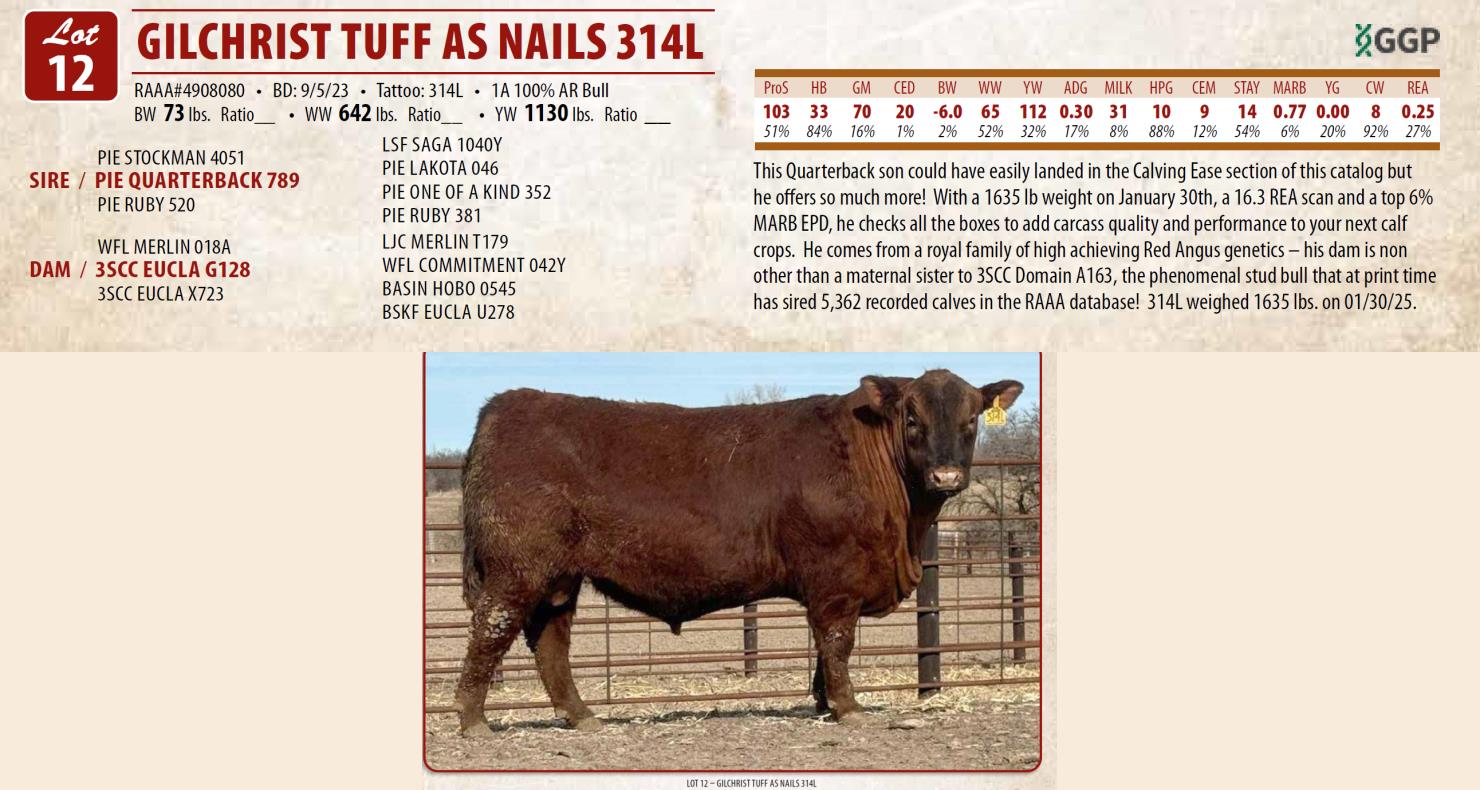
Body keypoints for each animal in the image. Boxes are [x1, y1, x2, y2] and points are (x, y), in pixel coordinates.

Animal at [454, 369, 1024, 736]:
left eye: (972, 420)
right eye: (912, 419)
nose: (946, 476)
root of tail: (503, 406)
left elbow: (823, 650)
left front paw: (823, 704)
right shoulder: (836, 579)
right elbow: (837, 644)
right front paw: (848, 708)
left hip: (558, 578)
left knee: (550, 644)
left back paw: (582, 718)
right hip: (516, 570)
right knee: (491, 629)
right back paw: (473, 721)